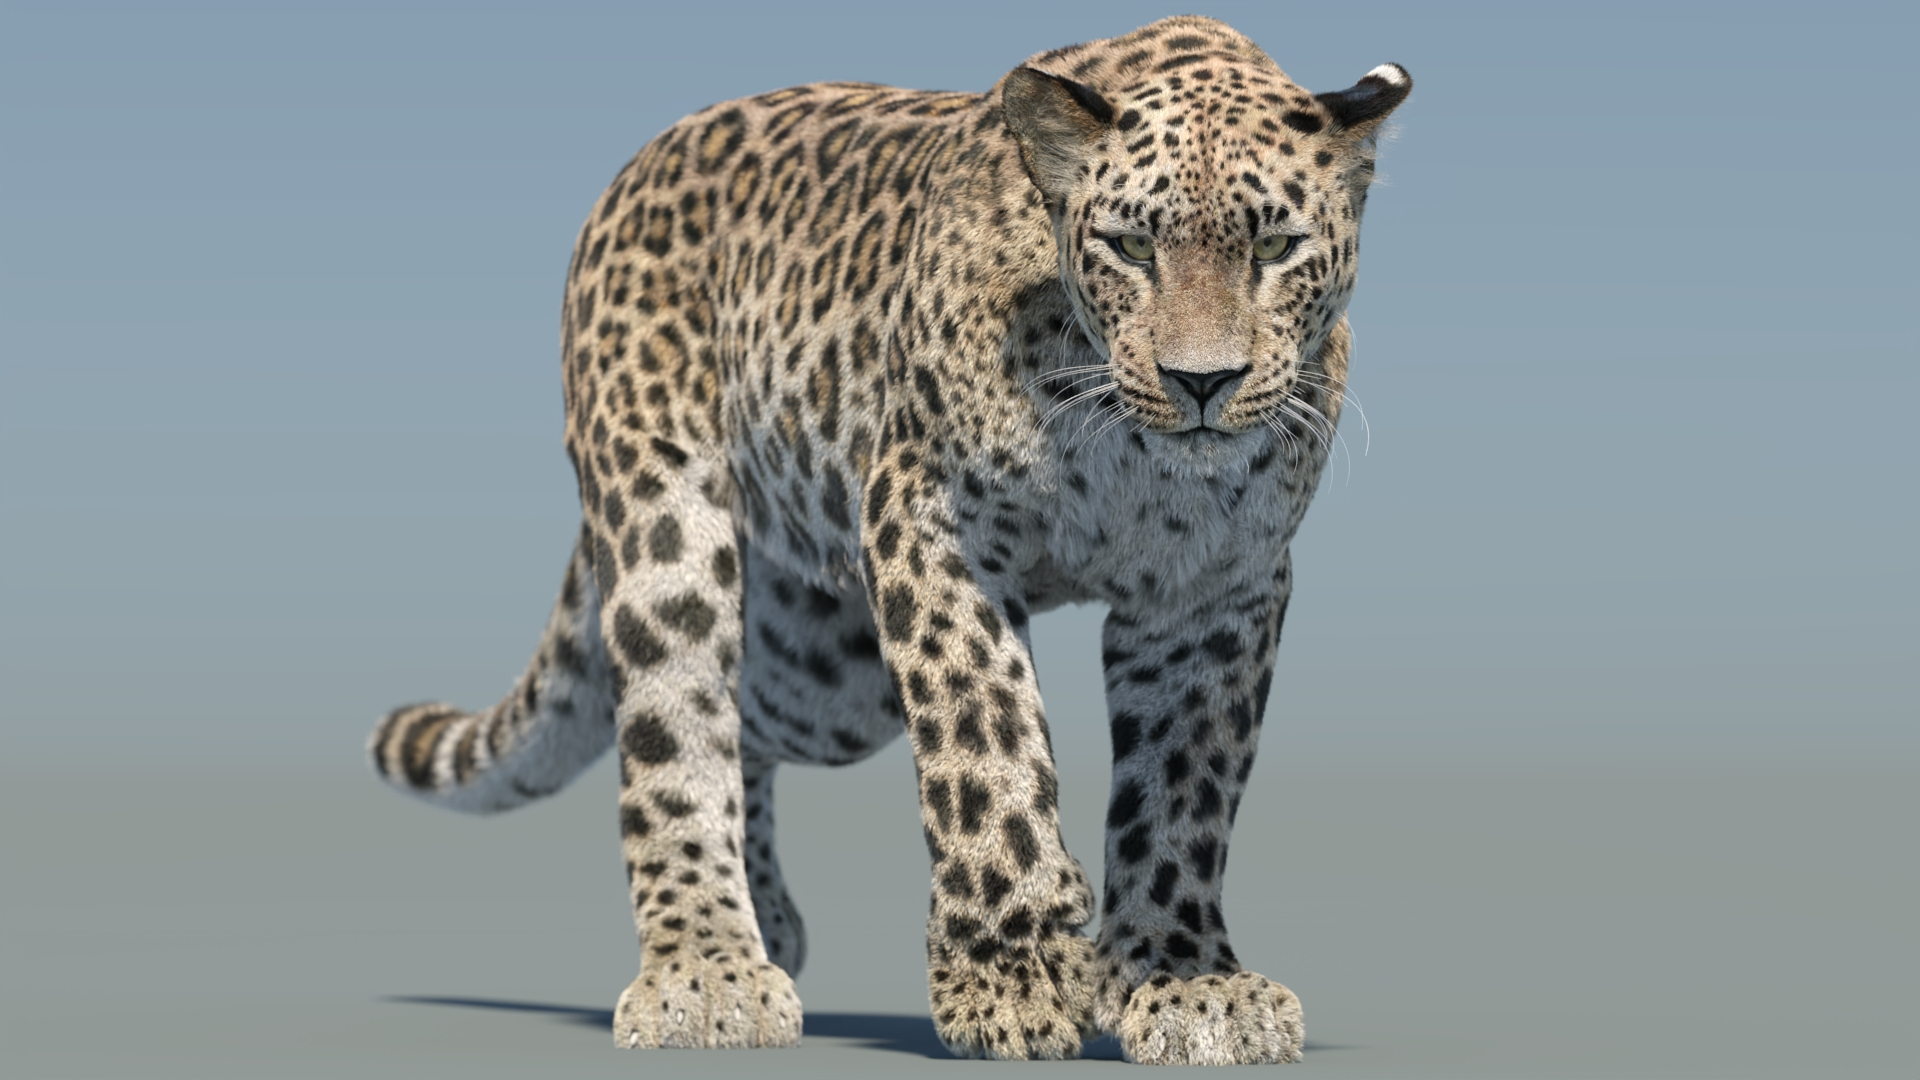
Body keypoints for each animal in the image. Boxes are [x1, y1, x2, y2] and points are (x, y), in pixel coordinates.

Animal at [368, 14, 1408, 1065]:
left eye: (1275, 246)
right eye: (1129, 247)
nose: (1202, 382)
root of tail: (638, 166)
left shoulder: (1214, 588)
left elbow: (1184, 789)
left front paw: (1184, 980)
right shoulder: (932, 520)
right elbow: (985, 742)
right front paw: (1012, 973)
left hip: (826, 666)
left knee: (747, 726)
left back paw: (768, 923)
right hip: (670, 526)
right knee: (677, 731)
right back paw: (708, 968)